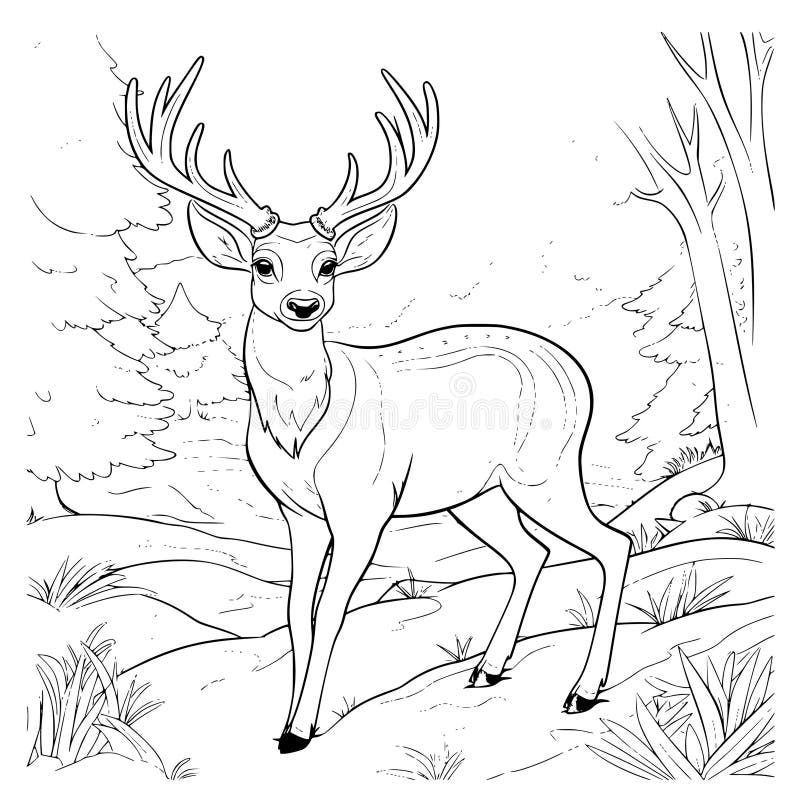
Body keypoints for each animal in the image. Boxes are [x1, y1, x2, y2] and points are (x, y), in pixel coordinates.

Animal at [125, 58, 631, 754]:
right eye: (262, 263)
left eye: (329, 264)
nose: (303, 305)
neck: (300, 427)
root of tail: (577, 372)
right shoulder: (298, 513)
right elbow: (296, 612)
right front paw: (287, 721)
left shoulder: (364, 505)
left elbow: (332, 609)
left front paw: (300, 730)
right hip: (476, 492)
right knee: (532, 552)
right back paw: (487, 669)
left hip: (545, 470)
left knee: (613, 542)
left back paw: (580, 691)